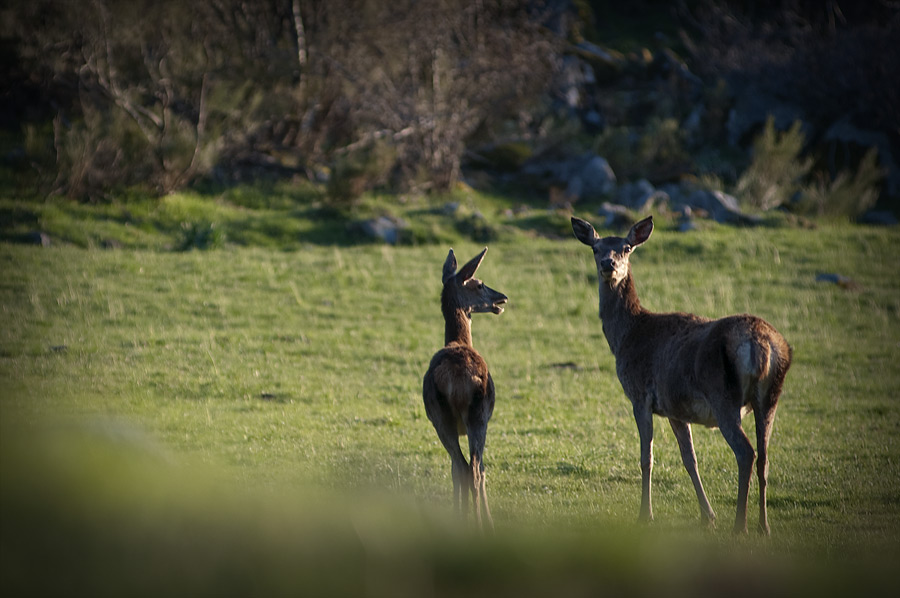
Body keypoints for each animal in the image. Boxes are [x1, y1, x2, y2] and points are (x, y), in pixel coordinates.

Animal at [423, 247, 508, 531]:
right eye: (479, 284)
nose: (501, 298)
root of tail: (457, 381)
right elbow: (479, 469)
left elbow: (454, 469)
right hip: (478, 416)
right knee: (473, 469)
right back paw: (481, 524)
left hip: (439, 417)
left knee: (459, 467)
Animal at [571, 215, 792, 535]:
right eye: (595, 248)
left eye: (626, 248)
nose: (608, 264)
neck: (626, 336)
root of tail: (760, 344)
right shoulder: (675, 408)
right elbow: (690, 459)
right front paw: (707, 515)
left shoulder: (639, 395)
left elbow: (646, 458)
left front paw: (645, 515)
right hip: (770, 397)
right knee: (764, 457)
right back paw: (764, 526)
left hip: (723, 395)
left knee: (746, 452)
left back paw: (740, 525)